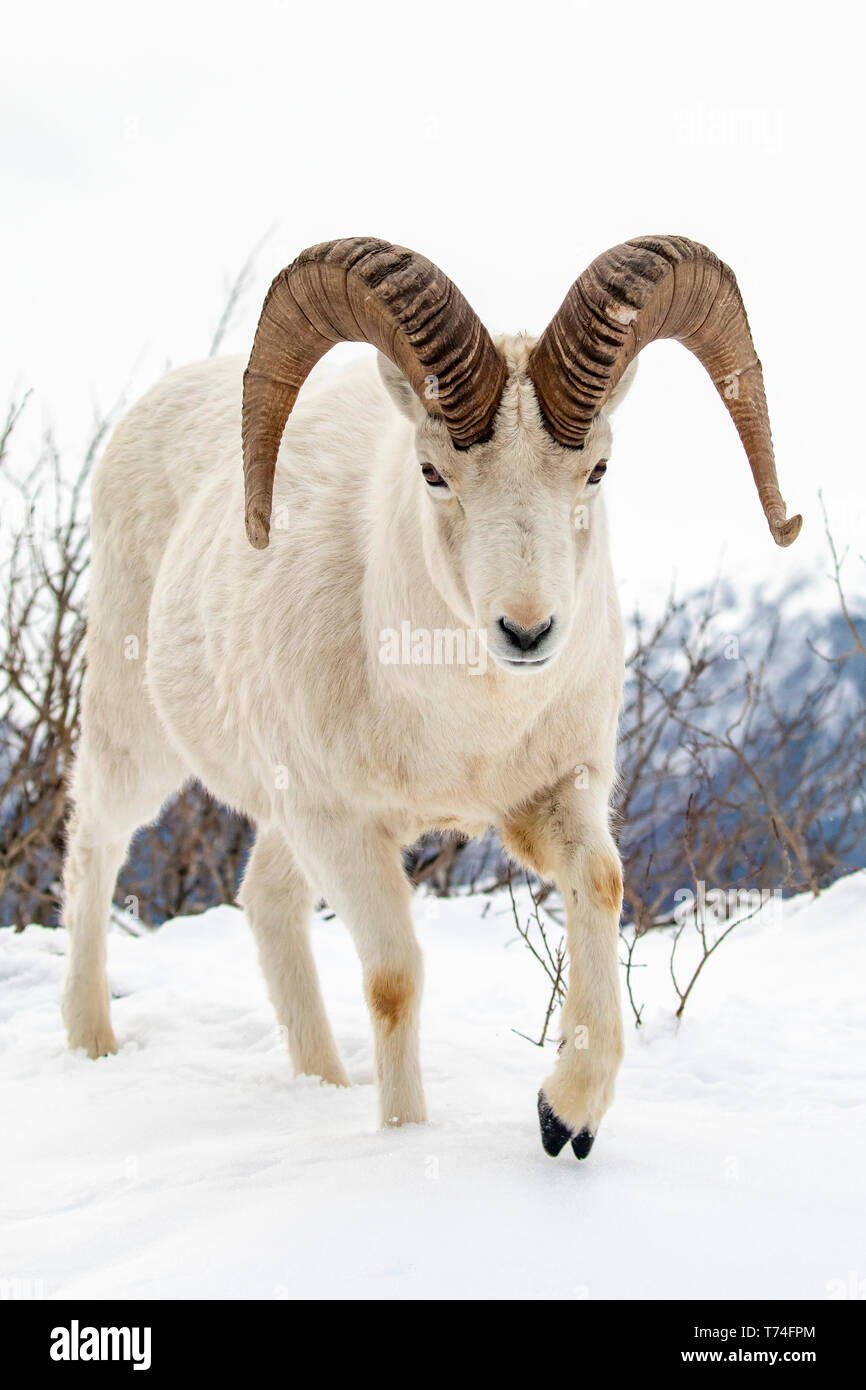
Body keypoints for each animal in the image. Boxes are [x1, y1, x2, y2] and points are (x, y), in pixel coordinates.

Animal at [61, 235, 801, 1158]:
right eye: (433, 473)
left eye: (597, 467)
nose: (527, 632)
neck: (462, 728)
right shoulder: (342, 826)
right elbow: (395, 979)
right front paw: (405, 1139)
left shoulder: (551, 796)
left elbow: (599, 884)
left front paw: (566, 1117)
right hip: (140, 744)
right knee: (96, 845)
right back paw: (92, 1044)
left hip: (278, 812)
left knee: (266, 902)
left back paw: (324, 1085)